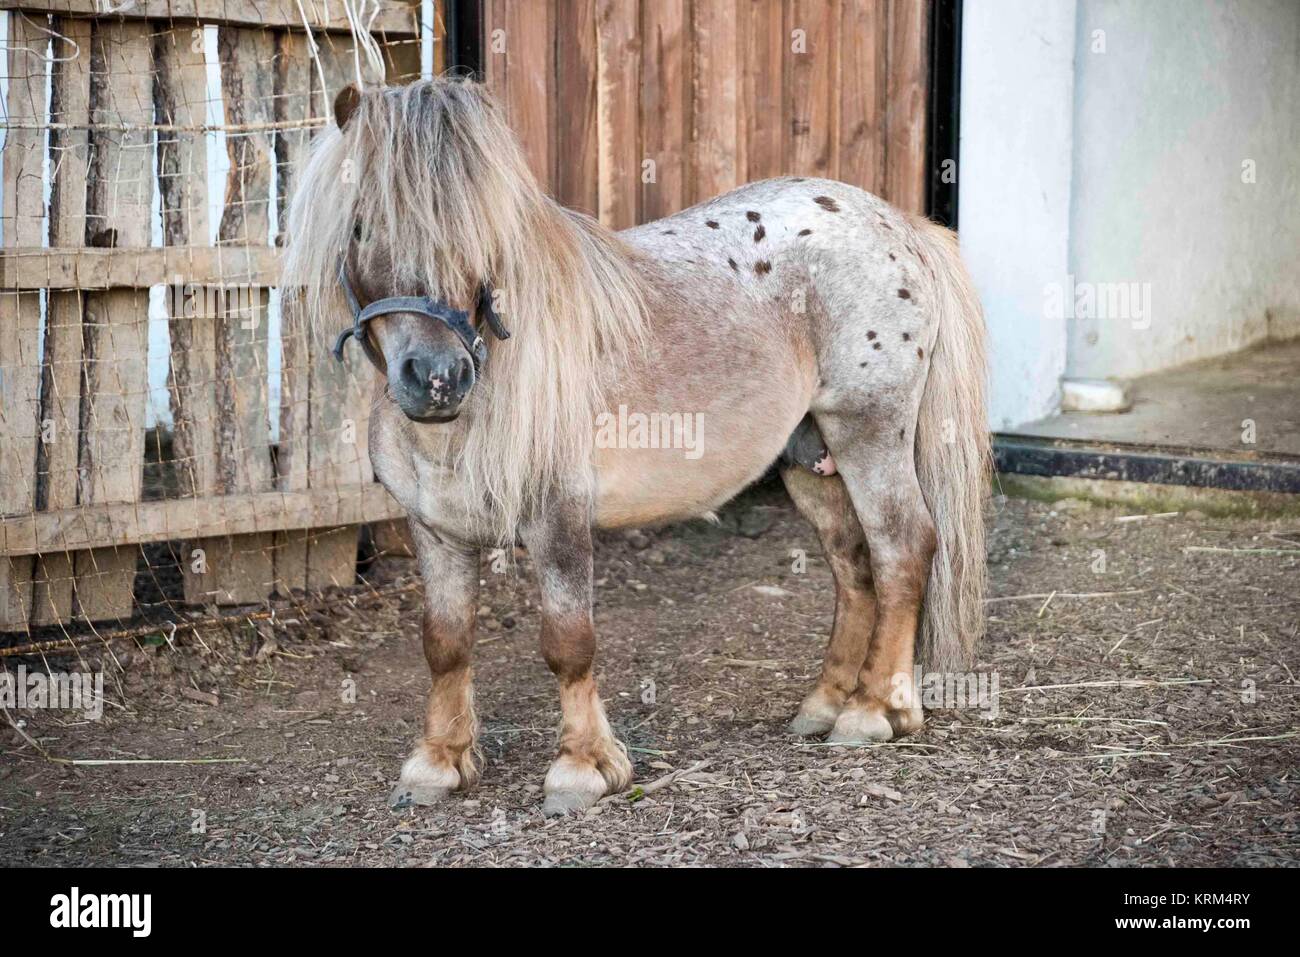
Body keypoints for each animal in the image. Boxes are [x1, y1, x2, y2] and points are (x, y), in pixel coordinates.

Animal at [284, 77, 990, 816]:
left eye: (480, 236)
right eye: (361, 226)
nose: (438, 377)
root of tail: (898, 224)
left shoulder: (559, 520)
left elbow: (568, 642)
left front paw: (583, 768)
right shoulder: (436, 530)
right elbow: (445, 642)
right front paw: (439, 763)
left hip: (868, 432)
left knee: (903, 548)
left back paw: (874, 711)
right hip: (811, 458)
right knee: (853, 566)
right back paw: (833, 703)